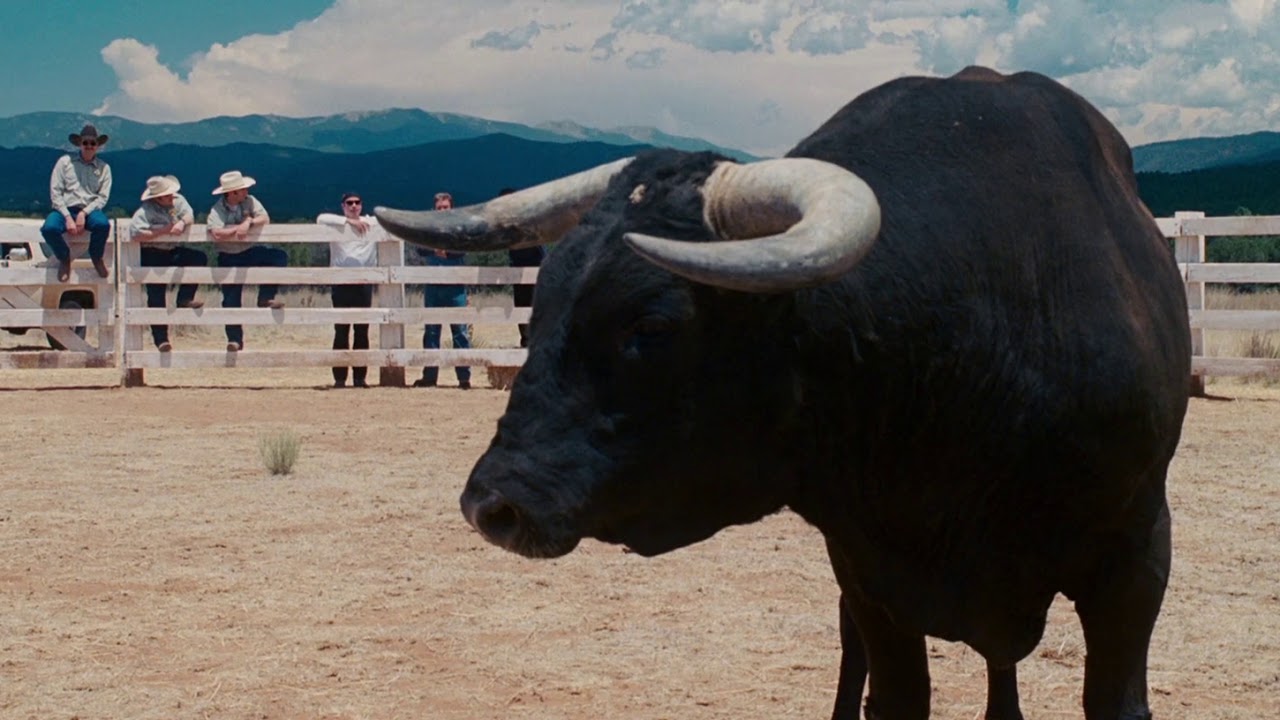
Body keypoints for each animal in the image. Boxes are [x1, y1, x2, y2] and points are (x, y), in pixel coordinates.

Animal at [376, 66, 1191, 720]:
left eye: (653, 324)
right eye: (540, 299)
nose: (493, 504)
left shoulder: (1136, 560)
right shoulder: (868, 577)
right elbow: (892, 697)